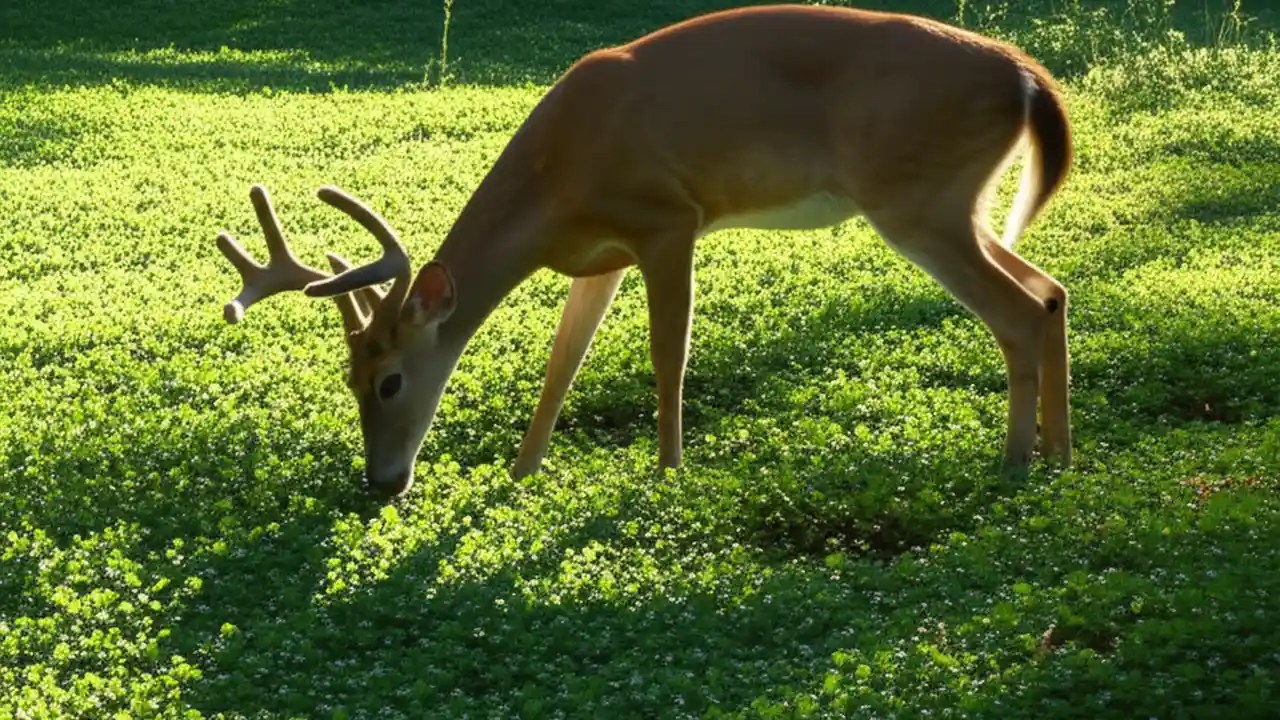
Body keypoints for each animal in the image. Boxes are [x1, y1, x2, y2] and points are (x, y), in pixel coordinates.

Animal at [216, 4, 1073, 496]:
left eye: (389, 382)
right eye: (347, 377)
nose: (379, 484)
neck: (559, 175)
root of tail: (1029, 78)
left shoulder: (668, 217)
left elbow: (669, 354)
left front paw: (668, 473)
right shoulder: (602, 255)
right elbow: (562, 364)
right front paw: (522, 473)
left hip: (915, 198)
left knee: (1018, 310)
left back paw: (1015, 463)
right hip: (960, 202)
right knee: (1051, 289)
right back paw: (1061, 455)